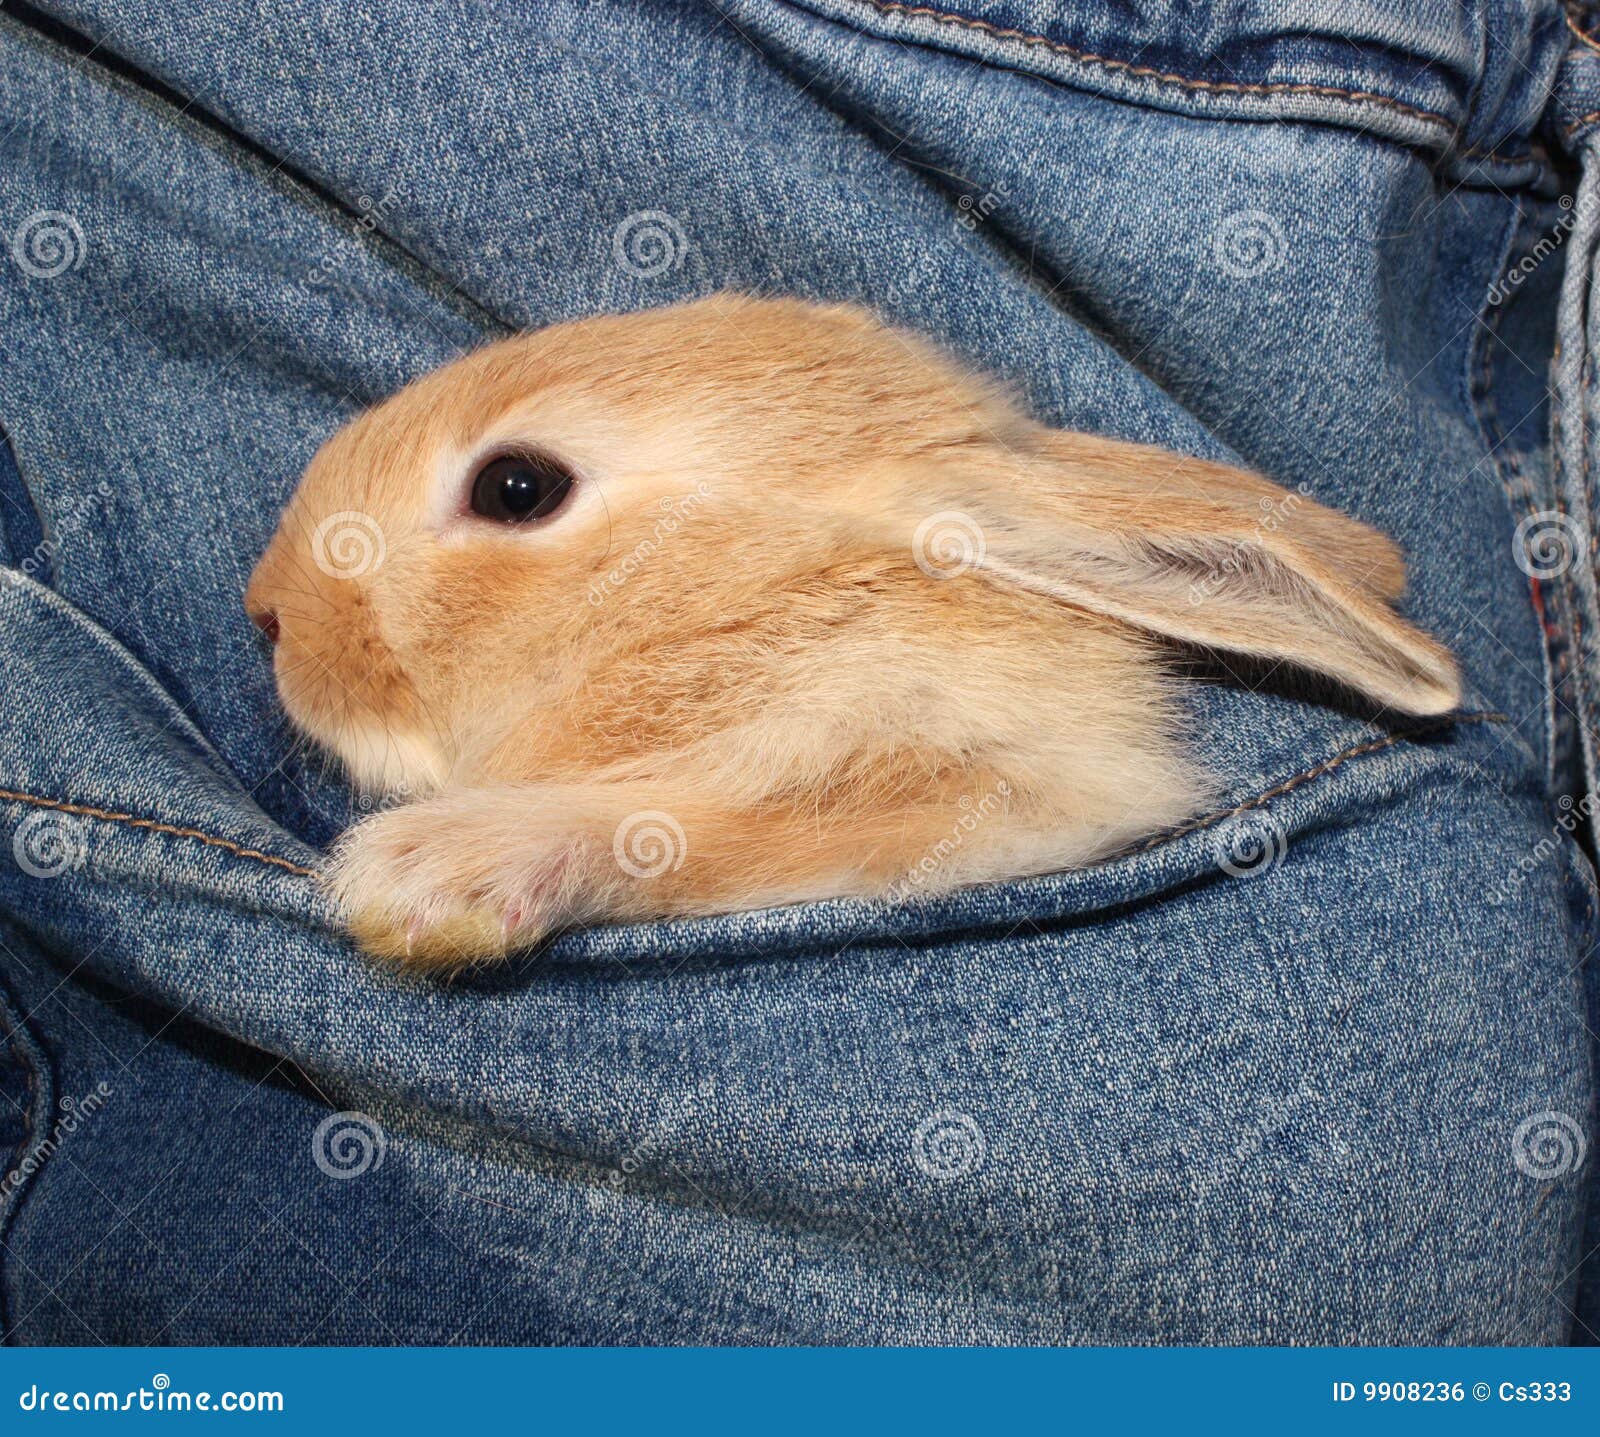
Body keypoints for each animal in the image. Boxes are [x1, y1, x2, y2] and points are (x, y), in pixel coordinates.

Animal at [245, 293, 1460, 968]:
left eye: (515, 487)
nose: (268, 613)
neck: (766, 607)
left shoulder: (980, 776)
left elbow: (697, 831)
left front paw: (430, 874)